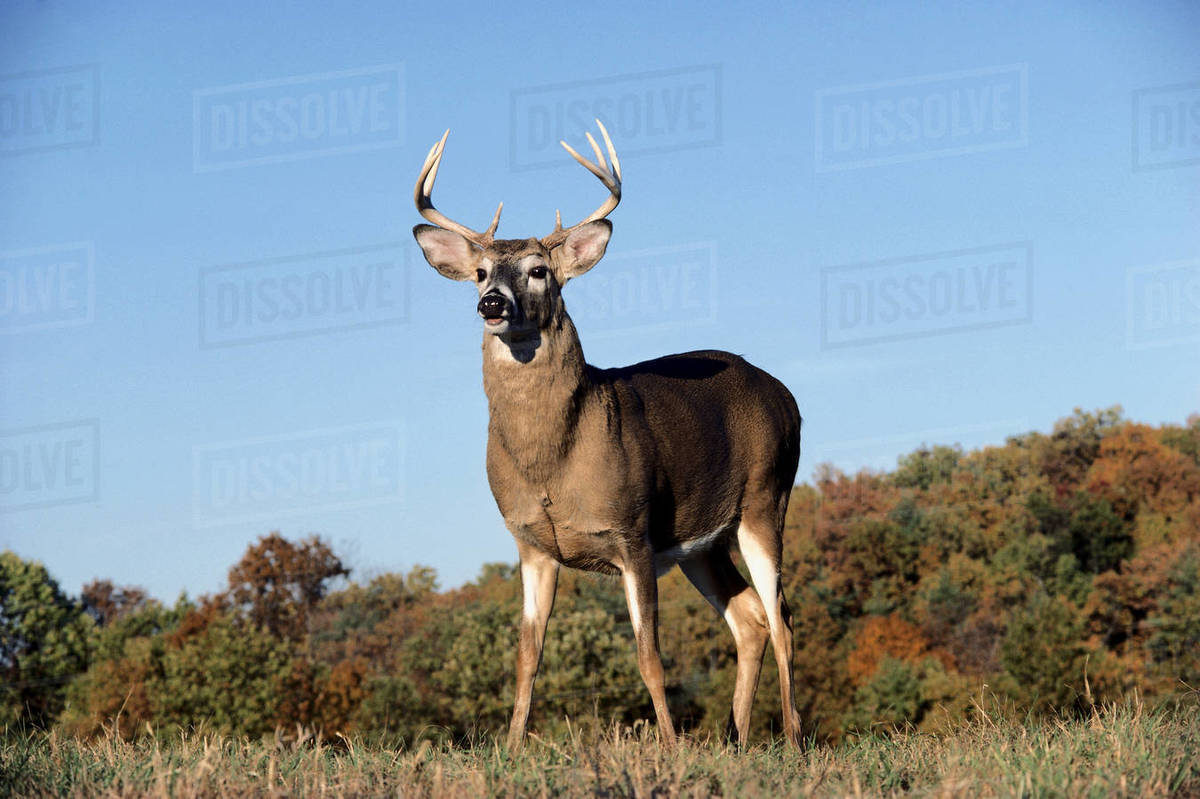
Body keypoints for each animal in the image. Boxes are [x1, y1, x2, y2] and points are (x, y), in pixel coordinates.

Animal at [412, 120, 803, 750]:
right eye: (480, 272)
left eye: (538, 270)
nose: (492, 302)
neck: (552, 463)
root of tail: (786, 396)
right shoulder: (530, 543)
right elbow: (527, 655)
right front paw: (513, 747)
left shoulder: (633, 531)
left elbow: (650, 656)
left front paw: (670, 746)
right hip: (704, 540)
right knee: (749, 617)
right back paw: (736, 740)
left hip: (767, 497)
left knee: (782, 613)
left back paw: (791, 737)